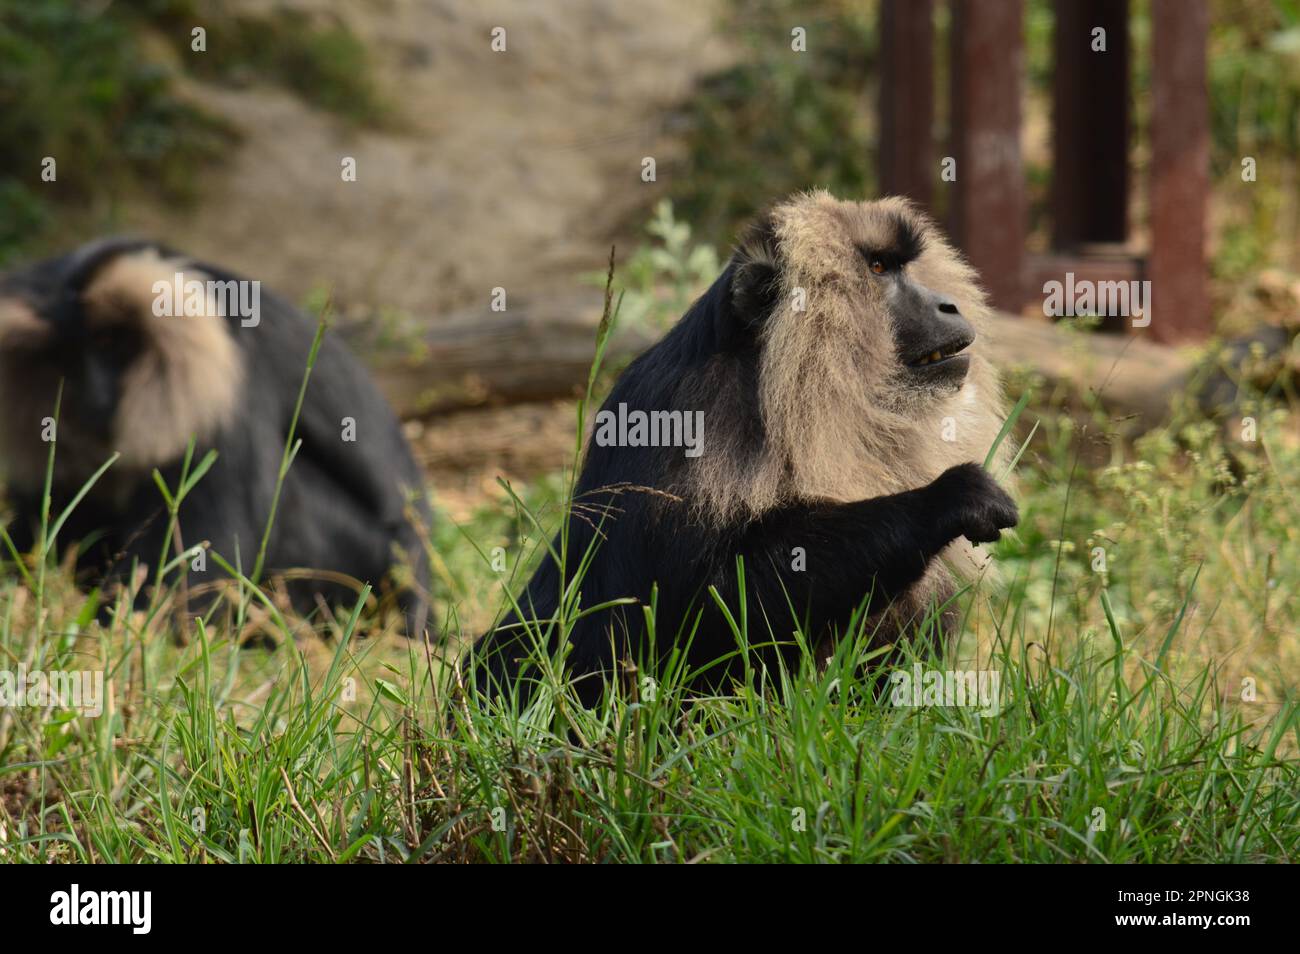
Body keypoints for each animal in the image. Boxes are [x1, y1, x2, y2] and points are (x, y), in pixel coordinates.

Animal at [466, 191, 1019, 707]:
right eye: (879, 268)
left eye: (903, 265)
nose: (947, 304)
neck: (769, 388)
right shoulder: (689, 416)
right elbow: (699, 606)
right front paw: (949, 498)